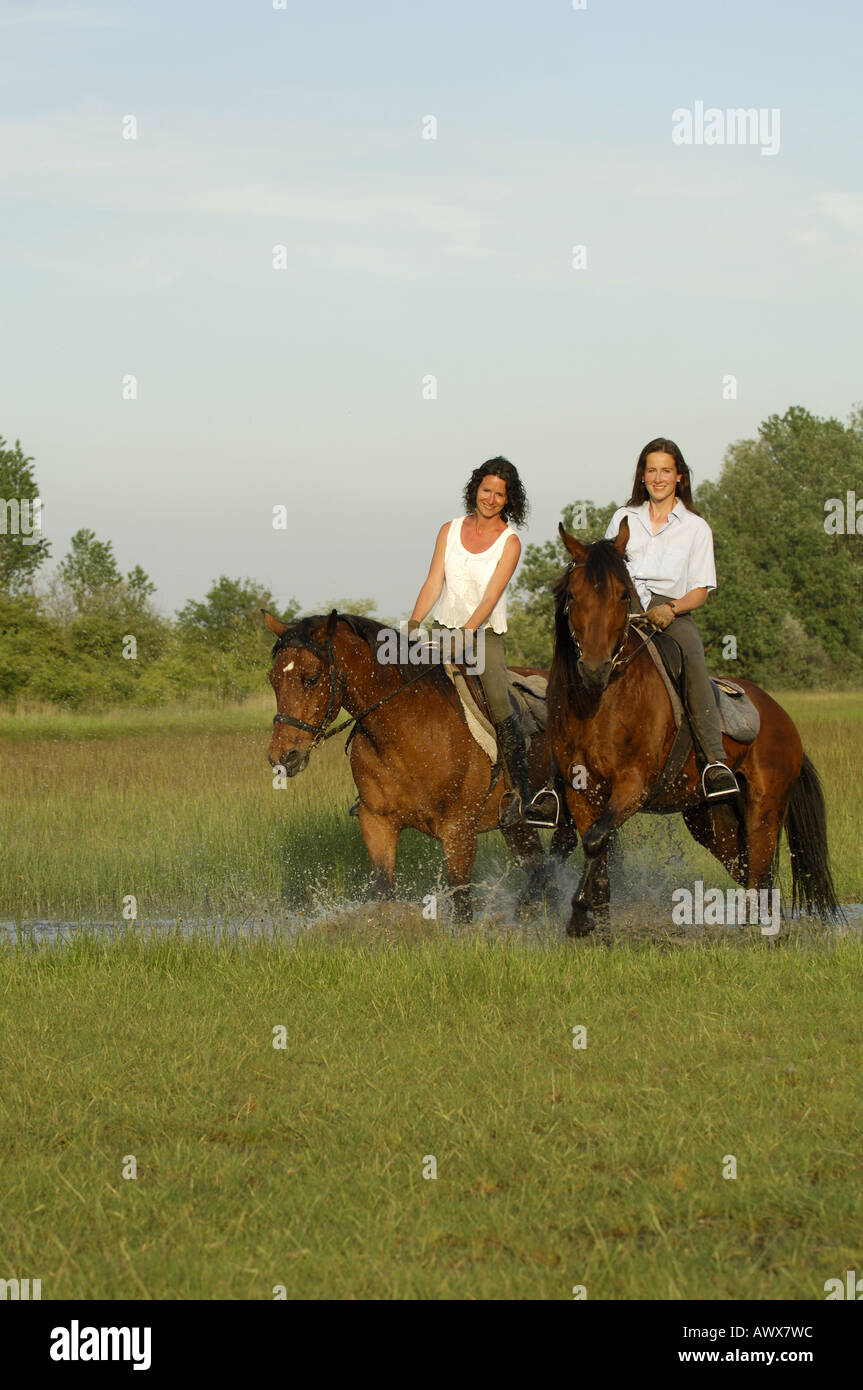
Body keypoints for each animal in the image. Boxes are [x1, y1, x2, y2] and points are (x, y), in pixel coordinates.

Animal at [263, 609, 578, 921]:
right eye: (273, 679)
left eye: (312, 679)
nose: (283, 756)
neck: (408, 729)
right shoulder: (377, 822)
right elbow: (383, 893)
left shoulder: (459, 832)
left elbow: (461, 905)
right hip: (515, 825)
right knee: (540, 867)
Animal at [549, 519, 841, 937]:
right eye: (574, 595)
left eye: (623, 595)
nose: (595, 668)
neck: (599, 702)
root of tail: (782, 717)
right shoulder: (581, 791)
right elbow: (598, 846)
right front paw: (595, 924)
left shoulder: (633, 785)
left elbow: (594, 841)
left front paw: (578, 914)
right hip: (714, 822)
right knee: (749, 871)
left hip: (765, 809)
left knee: (760, 872)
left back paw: (758, 936)